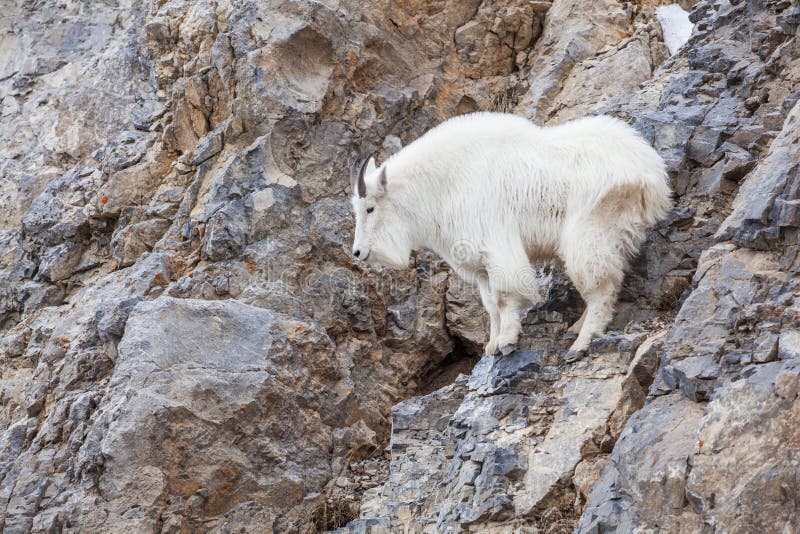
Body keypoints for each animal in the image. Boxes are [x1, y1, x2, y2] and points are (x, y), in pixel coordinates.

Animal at [350, 112, 672, 358]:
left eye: (369, 208)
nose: (358, 252)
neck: (442, 184)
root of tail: (652, 172)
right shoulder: (481, 267)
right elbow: (491, 305)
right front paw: (491, 345)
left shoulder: (496, 245)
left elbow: (505, 297)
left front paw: (507, 341)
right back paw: (576, 329)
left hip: (590, 230)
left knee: (601, 287)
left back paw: (582, 343)